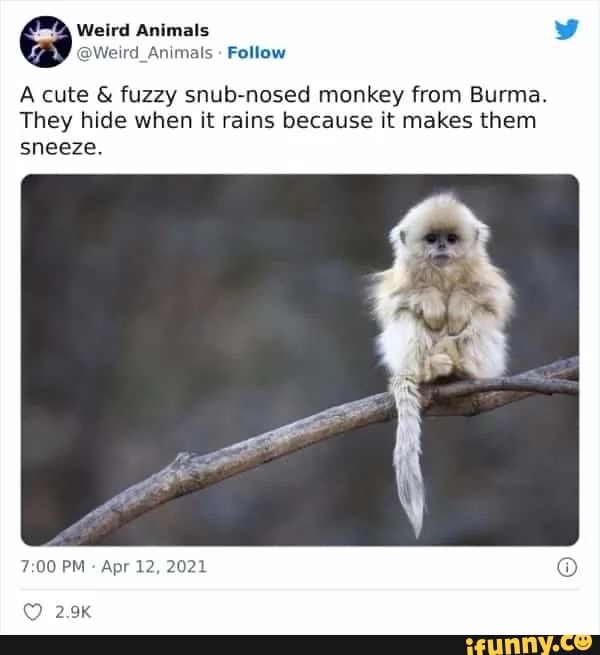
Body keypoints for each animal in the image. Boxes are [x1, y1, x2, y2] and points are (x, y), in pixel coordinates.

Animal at [368, 192, 514, 538]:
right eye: (431, 239)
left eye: (451, 239)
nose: (442, 248)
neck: (443, 274)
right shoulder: (399, 281)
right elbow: (398, 302)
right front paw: (432, 300)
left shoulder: (486, 278)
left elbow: (491, 301)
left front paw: (458, 304)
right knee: (407, 317)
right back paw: (431, 368)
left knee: (481, 319)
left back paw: (461, 366)